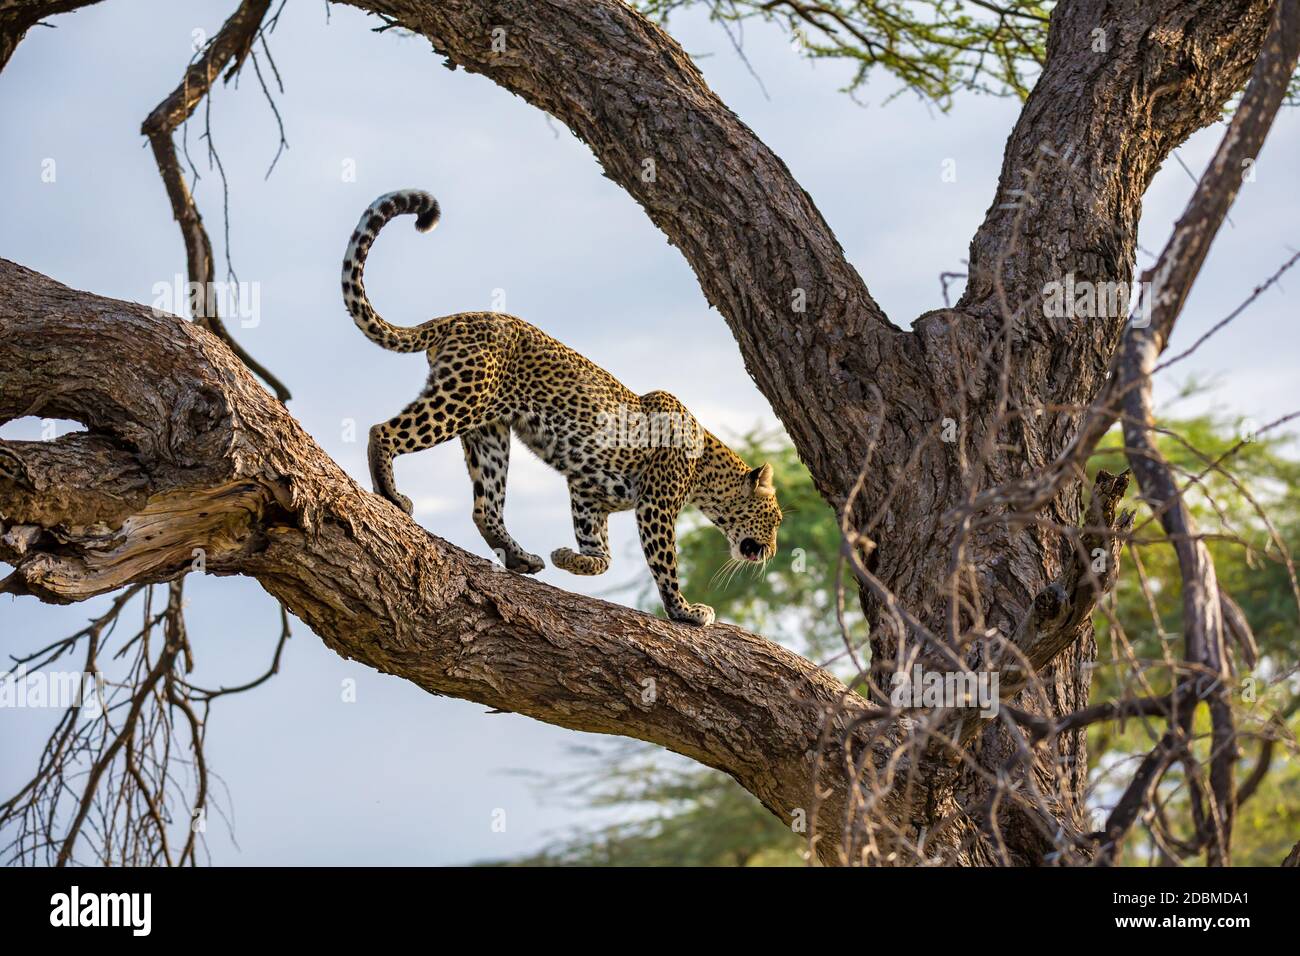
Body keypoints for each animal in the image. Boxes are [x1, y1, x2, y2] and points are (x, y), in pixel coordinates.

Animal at [341, 189, 782, 626]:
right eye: (776, 519)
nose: (774, 552)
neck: (706, 472)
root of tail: (457, 317)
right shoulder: (655, 506)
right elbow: (664, 563)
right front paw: (684, 610)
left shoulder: (588, 491)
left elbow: (602, 557)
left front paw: (568, 558)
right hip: (462, 398)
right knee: (384, 431)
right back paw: (393, 496)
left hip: (490, 433)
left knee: (485, 506)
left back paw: (521, 557)